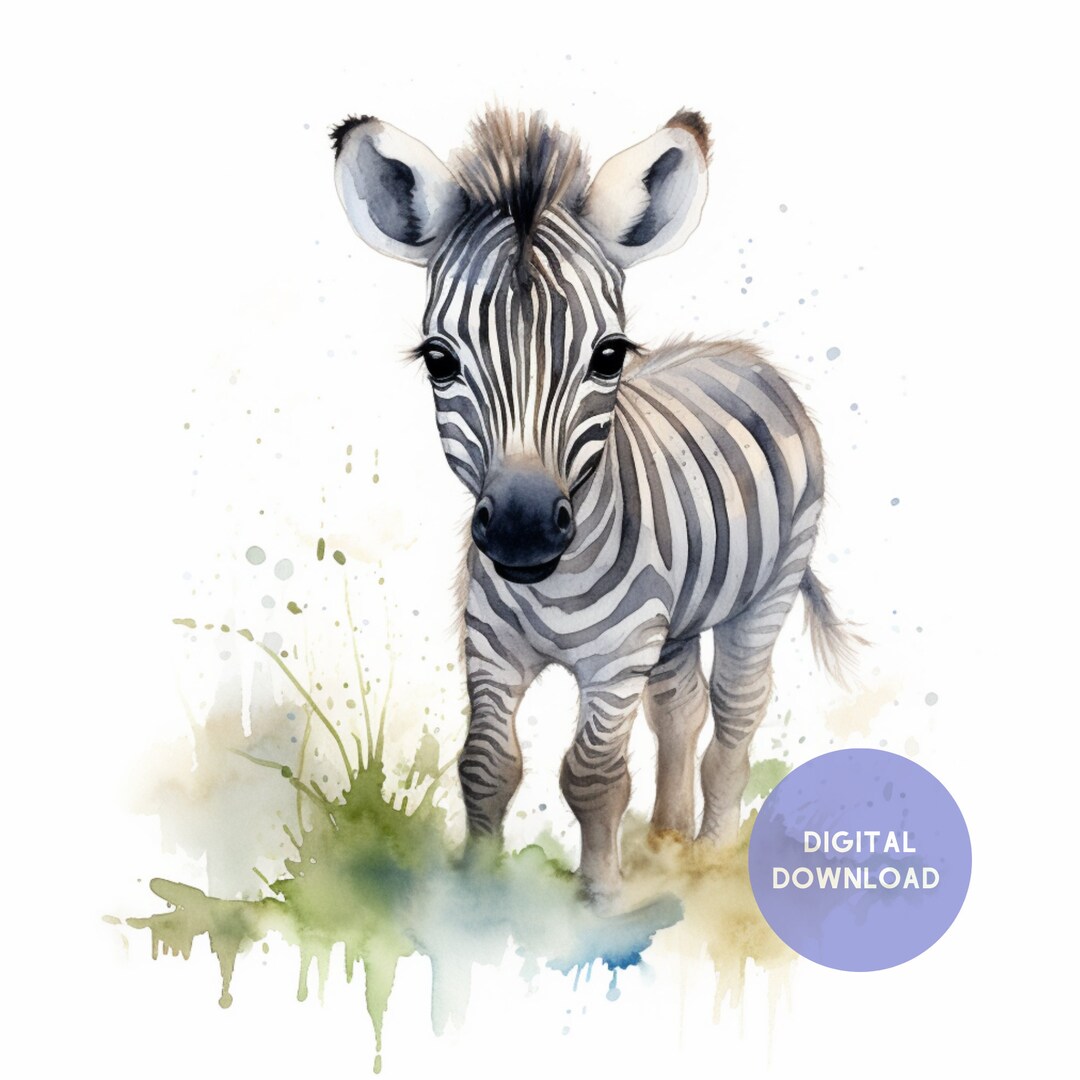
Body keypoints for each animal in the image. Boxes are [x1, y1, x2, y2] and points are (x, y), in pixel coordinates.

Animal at [331, 107, 859, 901]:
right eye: (438, 359)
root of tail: (744, 355)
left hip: (767, 588)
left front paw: (600, 900)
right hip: (677, 618)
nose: (521, 531)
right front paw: (474, 895)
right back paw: (666, 838)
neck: (549, 589)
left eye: (609, 355)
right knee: (680, 708)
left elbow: (594, 776)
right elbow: (485, 767)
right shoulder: (490, 644)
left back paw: (707, 857)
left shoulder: (618, 655)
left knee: (735, 717)